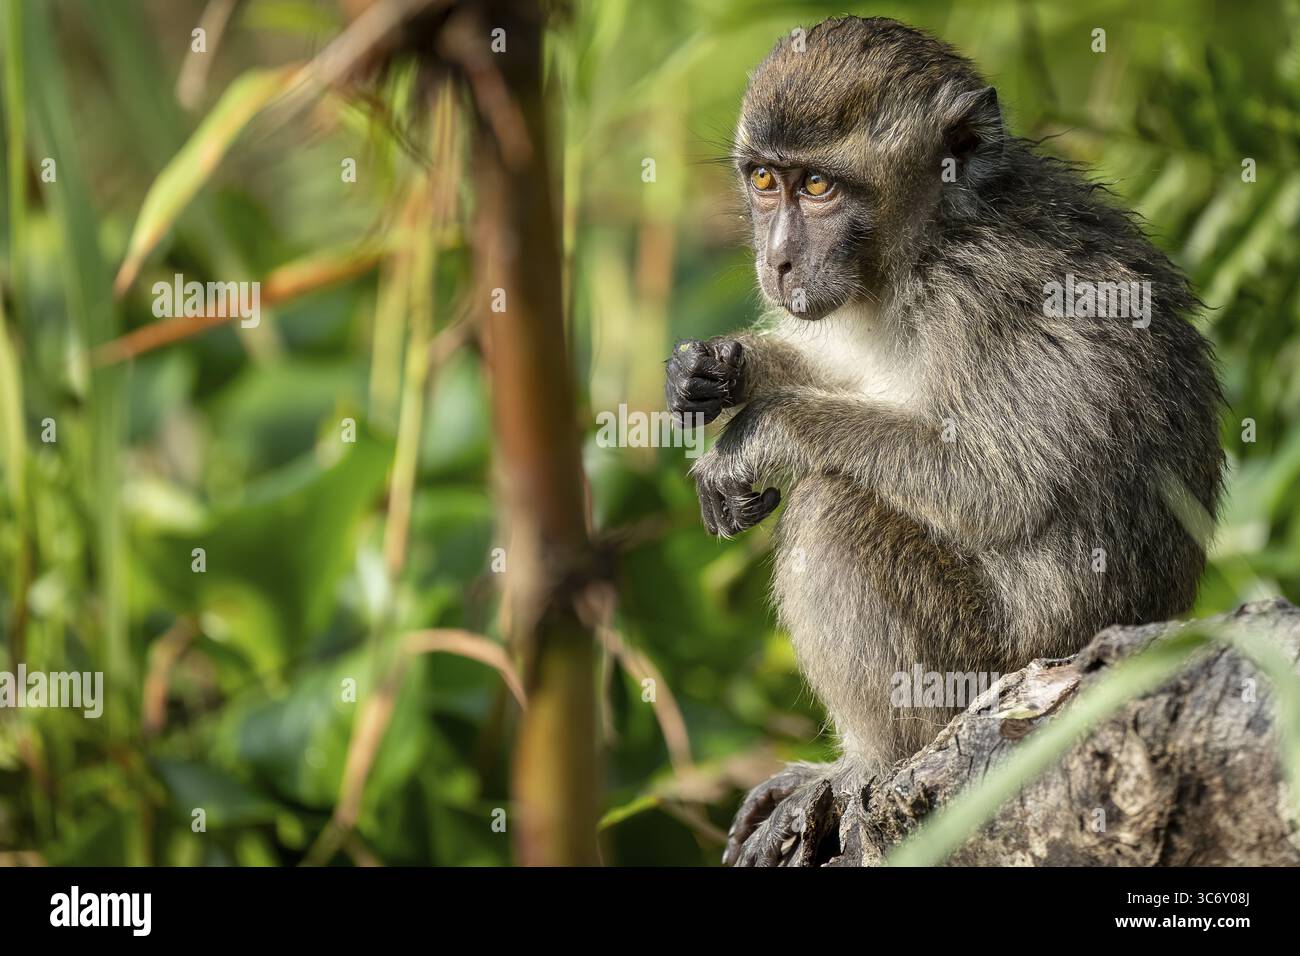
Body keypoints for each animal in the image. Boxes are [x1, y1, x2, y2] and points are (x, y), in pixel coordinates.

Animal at [663, 17, 1224, 866]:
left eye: (819, 188)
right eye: (764, 181)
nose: (778, 261)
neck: (925, 242)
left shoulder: (976, 293)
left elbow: (997, 482)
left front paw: (758, 433)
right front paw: (718, 370)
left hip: (984, 661)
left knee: (835, 508)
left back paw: (863, 764)